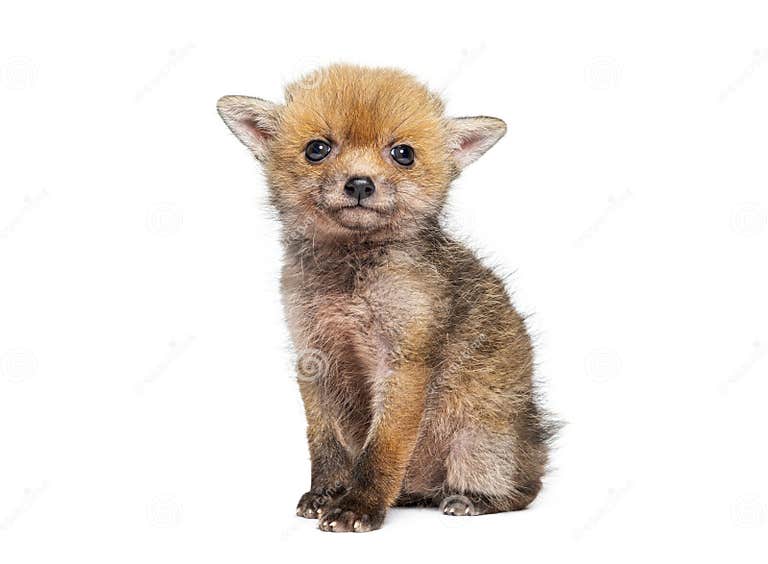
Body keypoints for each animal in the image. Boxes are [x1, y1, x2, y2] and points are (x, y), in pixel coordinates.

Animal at [217, 64, 556, 532]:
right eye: (317, 149)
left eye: (403, 154)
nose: (360, 183)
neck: (348, 281)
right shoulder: (314, 355)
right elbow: (325, 443)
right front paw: (326, 493)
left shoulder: (404, 360)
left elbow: (383, 448)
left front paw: (359, 506)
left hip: (478, 446)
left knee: (527, 488)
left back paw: (473, 500)